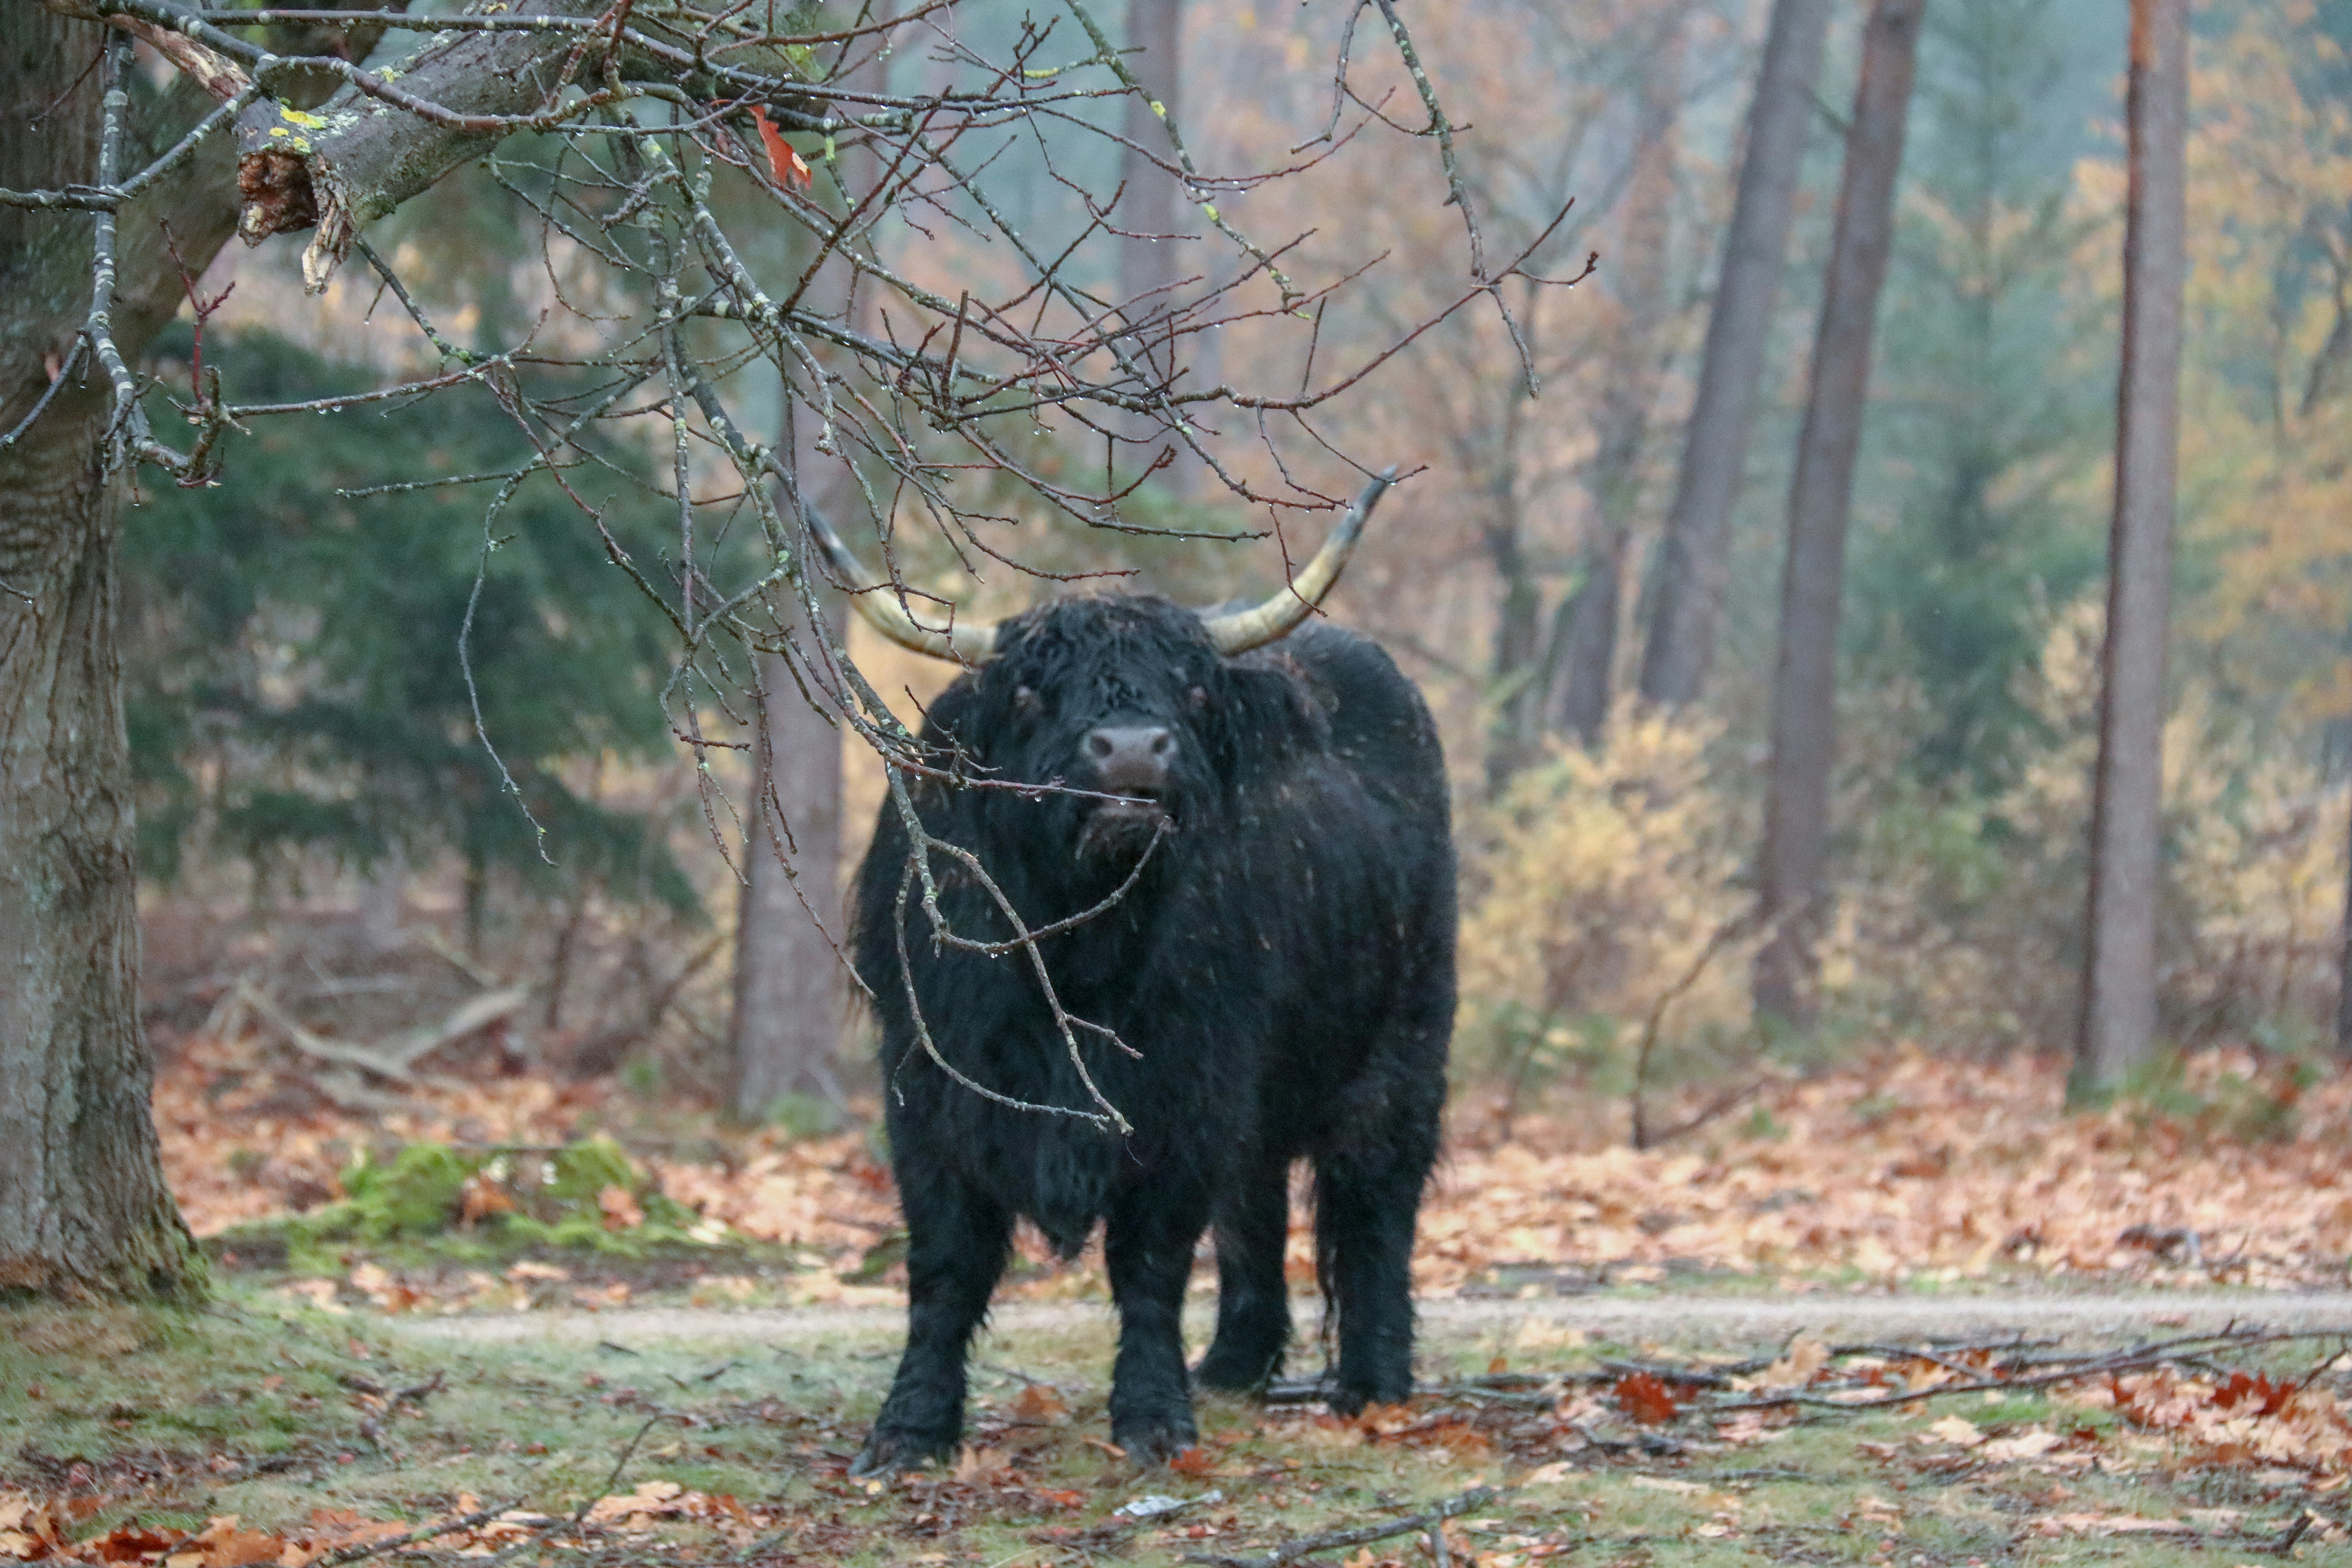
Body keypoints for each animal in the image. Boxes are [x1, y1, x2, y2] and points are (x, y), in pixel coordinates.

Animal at [811, 473, 1454, 1474]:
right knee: (1258, 1199)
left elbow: (1151, 1257)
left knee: (1374, 1198)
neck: (1076, 956)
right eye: (1032, 689)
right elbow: (946, 1263)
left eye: (1187, 687)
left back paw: (1373, 1385)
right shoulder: (928, 1089)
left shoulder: (1183, 1092)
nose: (1131, 750)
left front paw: (1153, 1417)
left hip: (1402, 1044)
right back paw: (1234, 1363)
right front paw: (909, 1429)